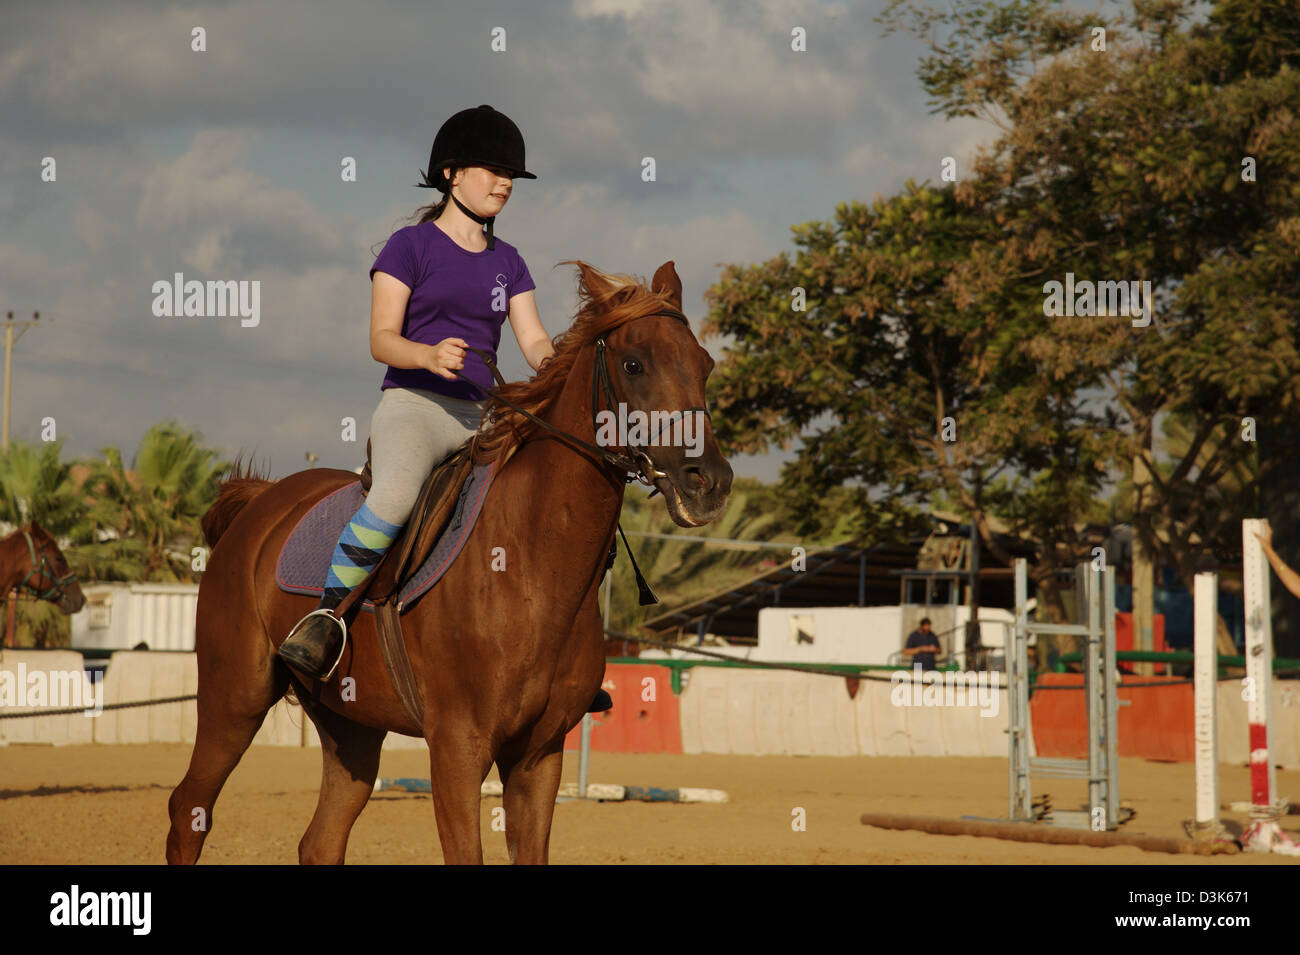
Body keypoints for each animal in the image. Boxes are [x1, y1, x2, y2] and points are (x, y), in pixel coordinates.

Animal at [166, 260, 733, 864]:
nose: (710, 482)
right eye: (634, 363)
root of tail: (262, 503)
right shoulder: (458, 750)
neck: (531, 569)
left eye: (705, 364)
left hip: (350, 726)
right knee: (190, 811)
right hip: (234, 700)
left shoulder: (539, 756)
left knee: (320, 841)